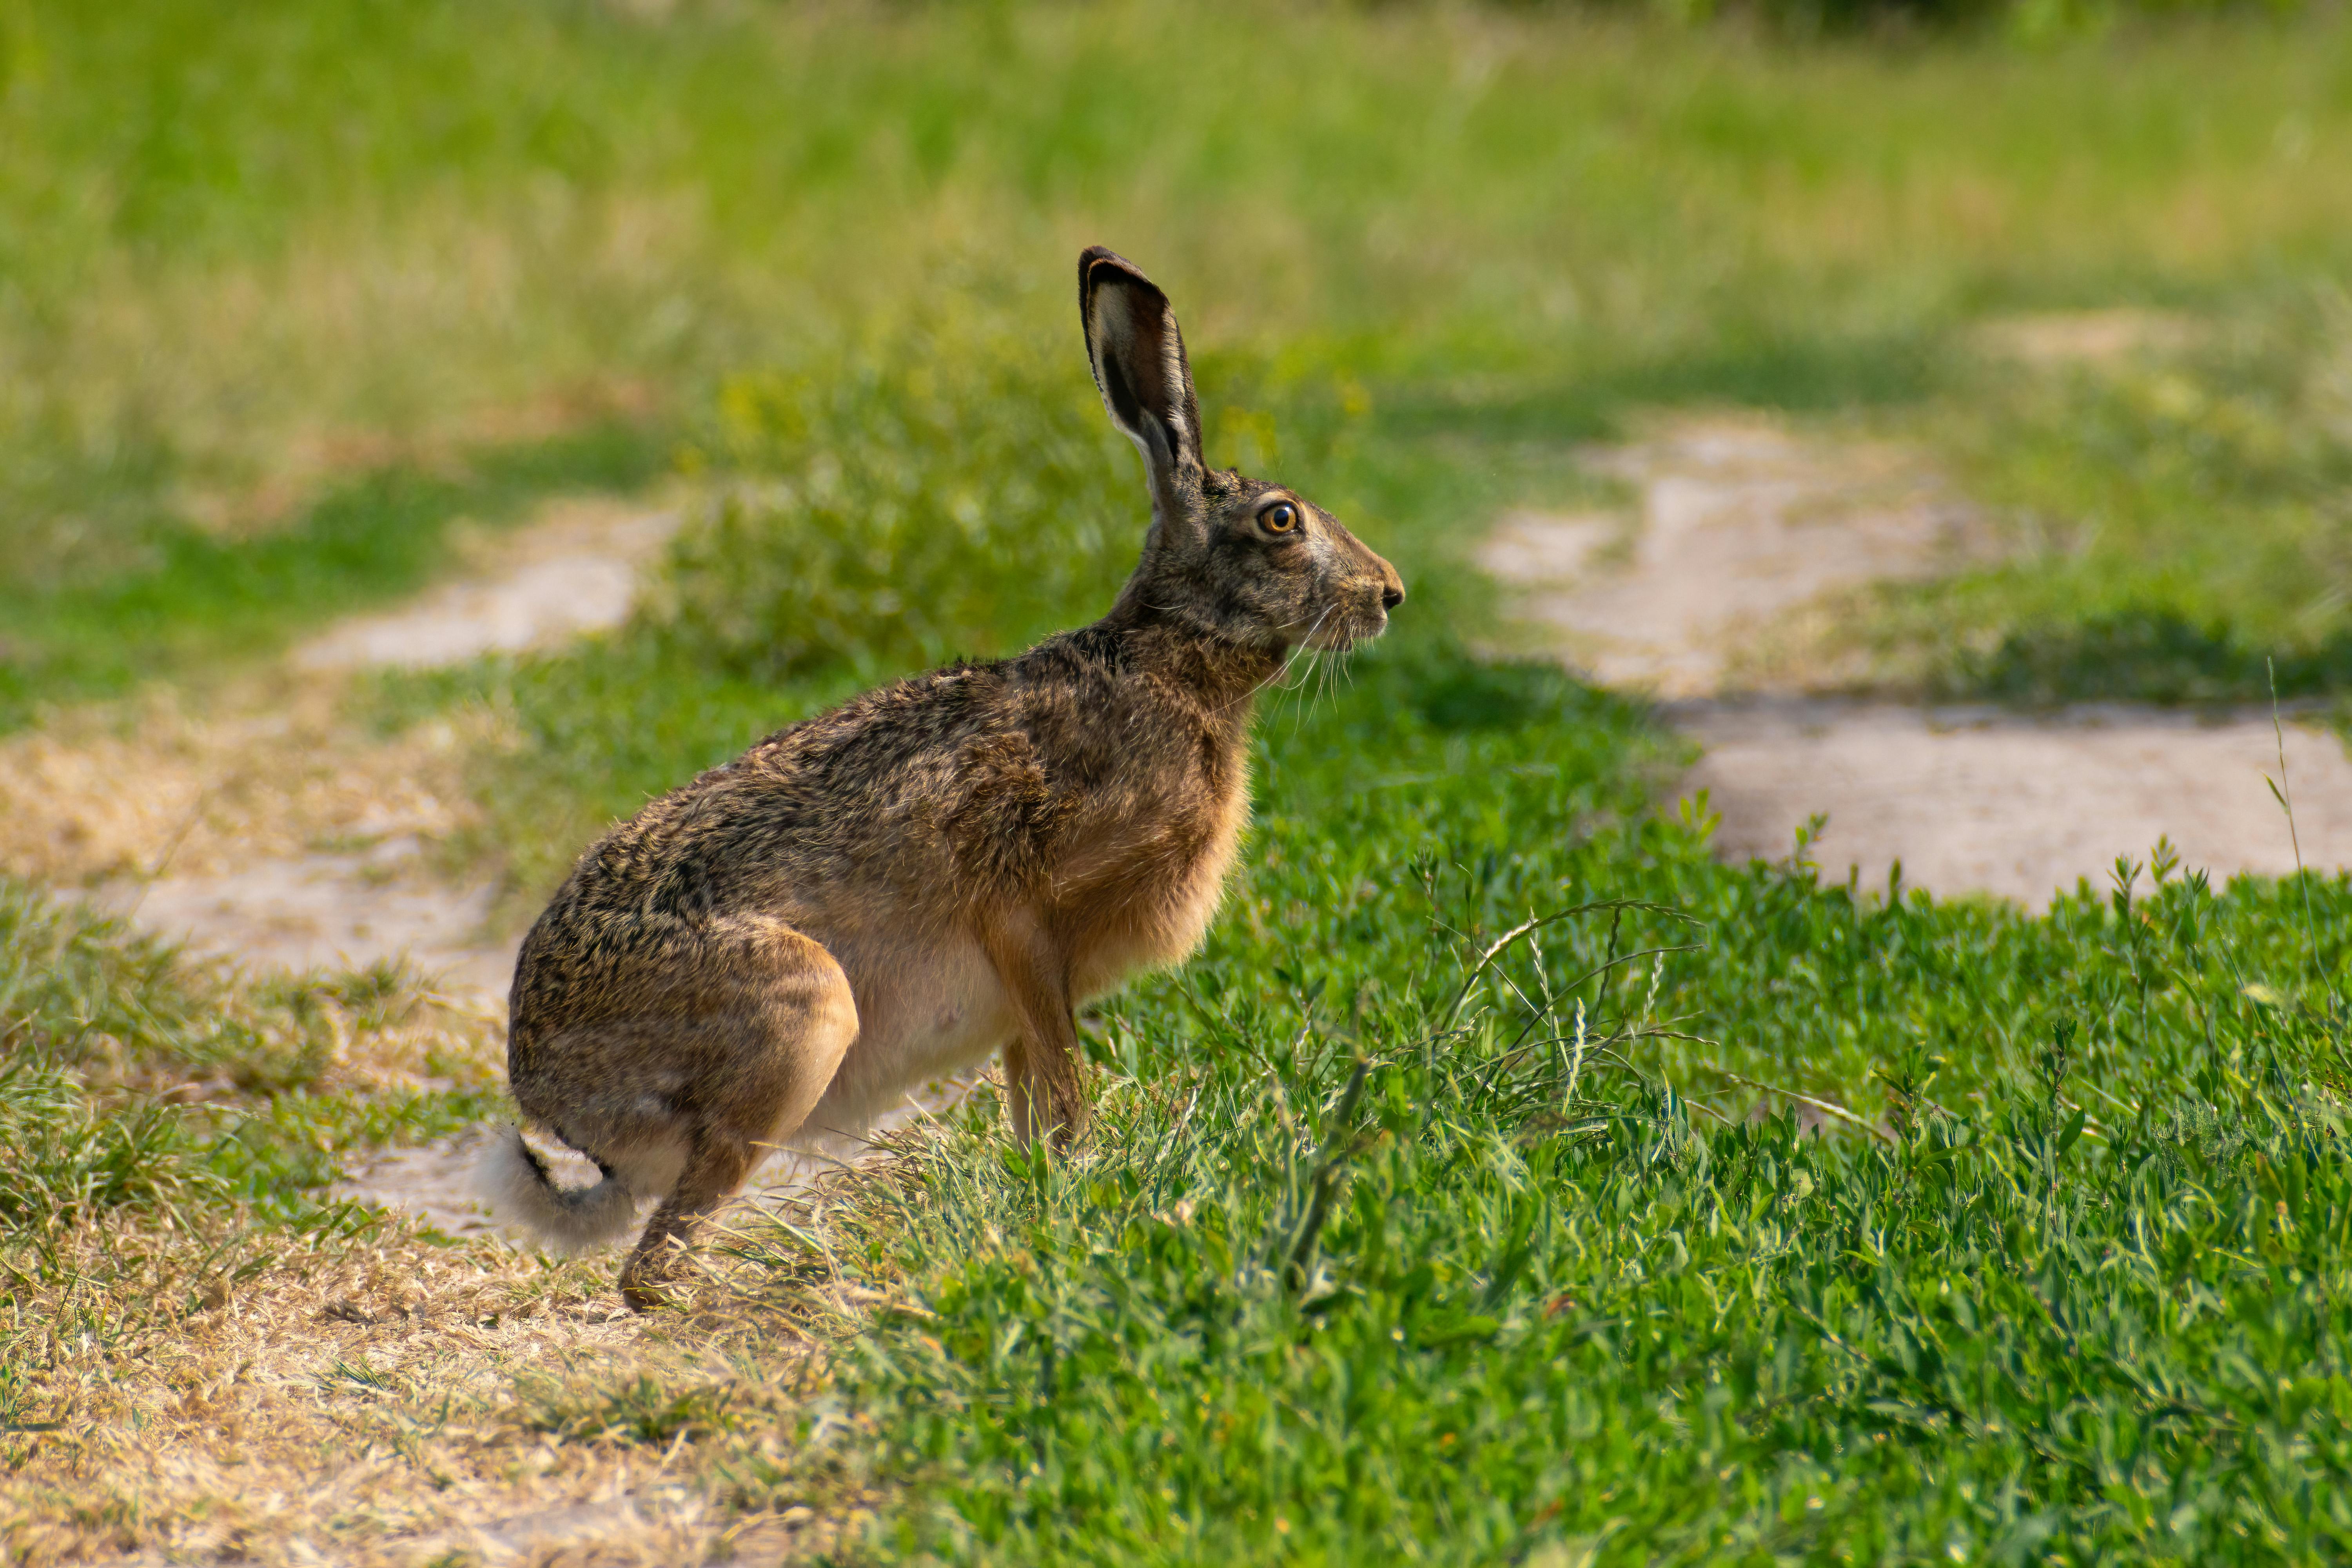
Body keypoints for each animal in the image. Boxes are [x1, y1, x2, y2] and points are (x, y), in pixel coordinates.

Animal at [476, 246, 1406, 1309]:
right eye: (1281, 520)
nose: (1390, 595)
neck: (1170, 659)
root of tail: (546, 1086)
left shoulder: (1023, 991)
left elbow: (1032, 1093)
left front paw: (1048, 1194)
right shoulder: (1024, 915)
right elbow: (1065, 1077)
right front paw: (1085, 1183)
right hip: (798, 1013)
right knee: (651, 1266)